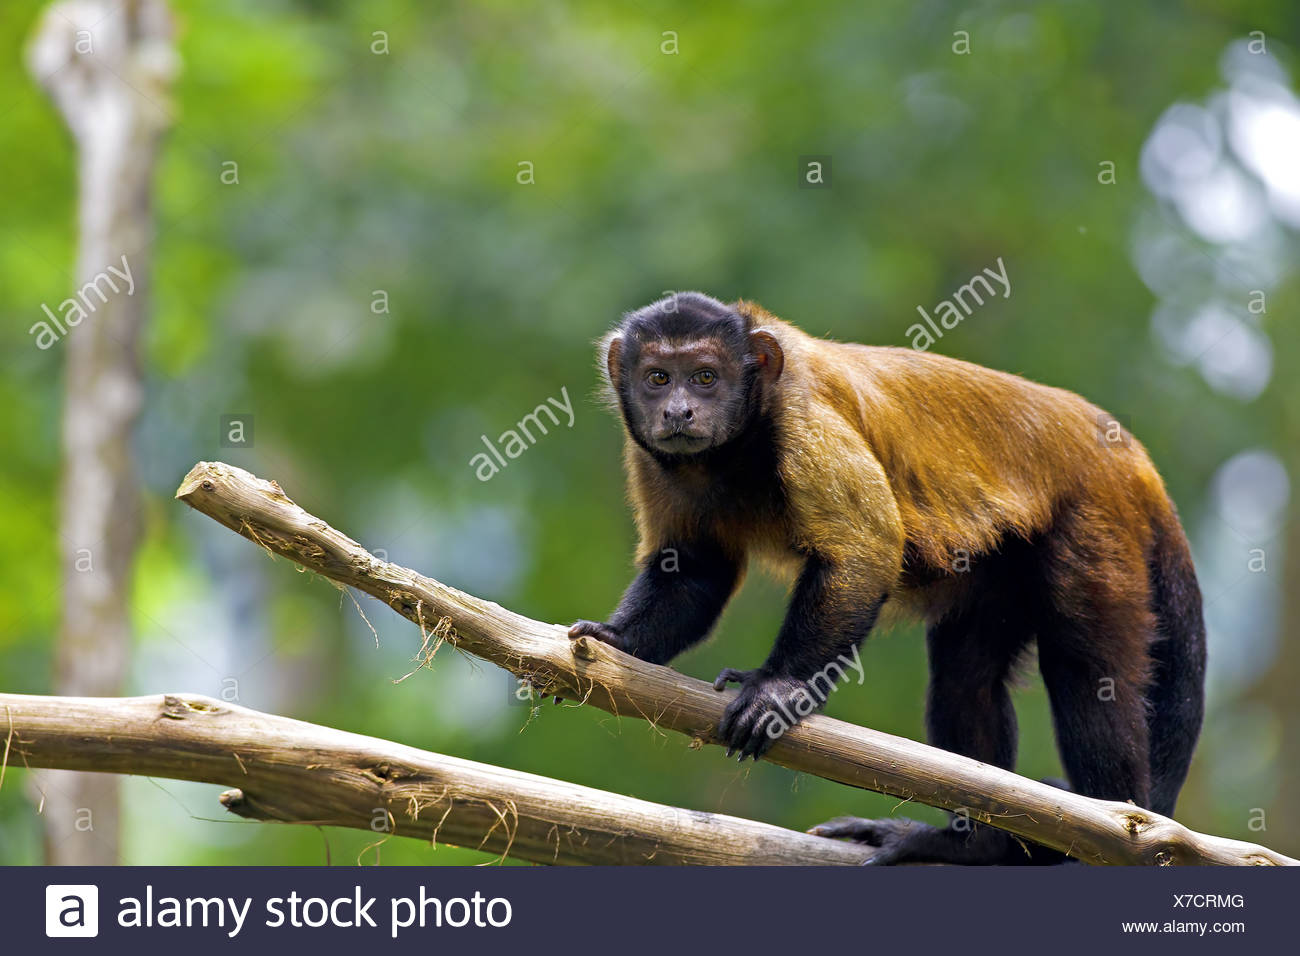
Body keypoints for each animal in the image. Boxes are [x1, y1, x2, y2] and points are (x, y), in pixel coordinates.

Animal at [568, 291, 1206, 865]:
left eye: (705, 377)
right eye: (657, 378)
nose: (678, 410)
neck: (738, 441)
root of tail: (1122, 451)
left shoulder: (802, 418)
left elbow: (865, 552)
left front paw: (778, 689)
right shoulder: (652, 455)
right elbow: (695, 571)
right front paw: (618, 640)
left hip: (1095, 517)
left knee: (1086, 672)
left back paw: (1107, 828)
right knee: (965, 677)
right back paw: (973, 845)